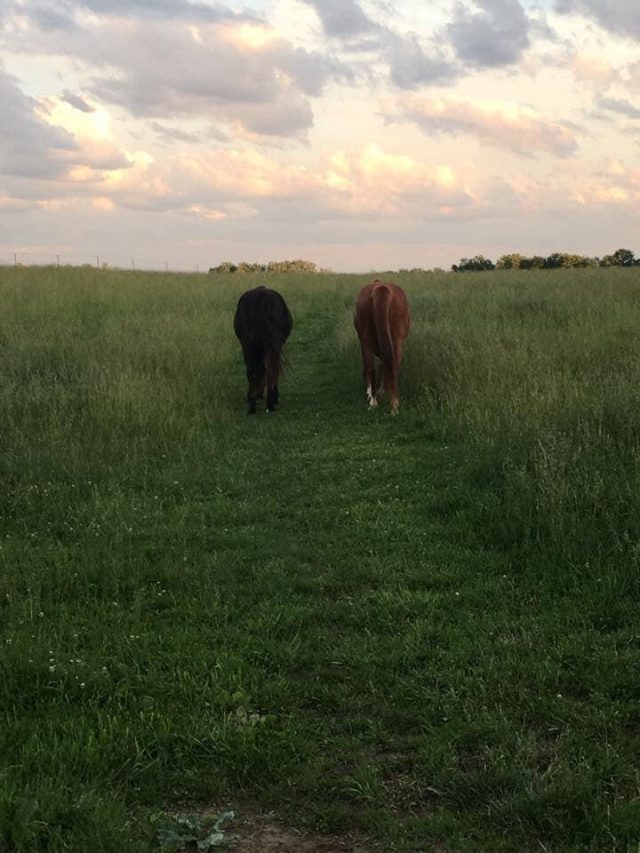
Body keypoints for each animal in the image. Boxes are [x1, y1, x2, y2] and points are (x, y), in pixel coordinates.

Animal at [233, 286, 293, 414]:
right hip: (269, 347)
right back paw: (270, 403)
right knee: (270, 370)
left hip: (248, 346)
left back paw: (252, 405)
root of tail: (259, 297)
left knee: (253, 371)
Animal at [353, 279, 410, 414]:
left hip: (367, 343)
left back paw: (374, 402)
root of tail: (380, 288)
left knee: (371, 368)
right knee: (392, 365)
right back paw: (392, 403)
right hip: (396, 342)